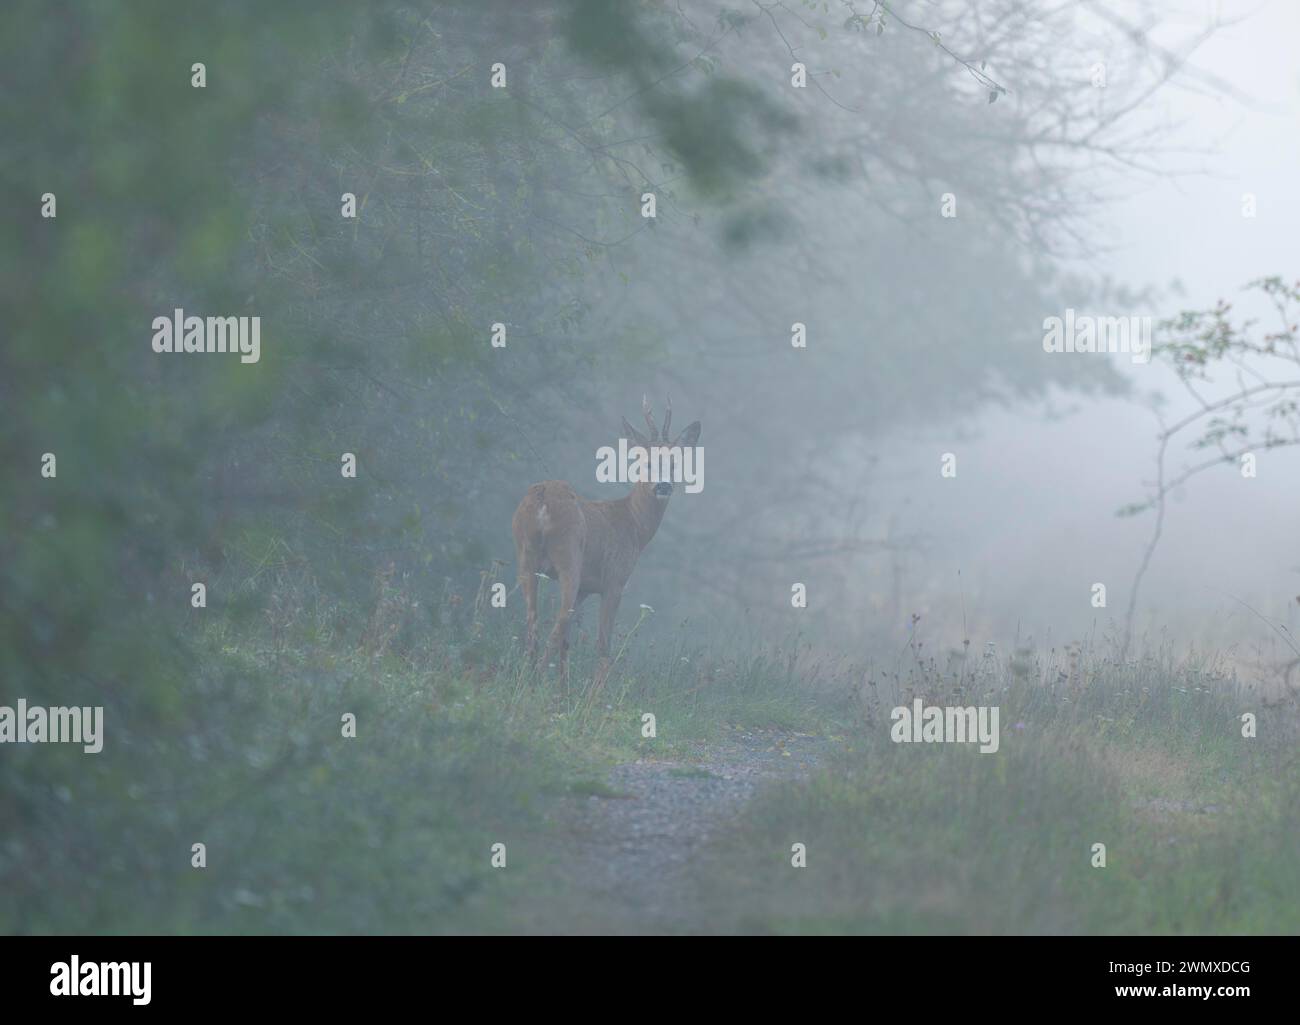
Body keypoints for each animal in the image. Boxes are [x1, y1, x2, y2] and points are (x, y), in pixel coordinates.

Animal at [511, 396, 701, 689]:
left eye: (674, 465)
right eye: (646, 463)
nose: (664, 486)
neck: (634, 525)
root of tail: (542, 499)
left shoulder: (586, 589)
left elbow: (569, 641)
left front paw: (563, 690)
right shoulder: (614, 580)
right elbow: (603, 644)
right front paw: (594, 693)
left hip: (525, 555)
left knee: (534, 620)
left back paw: (526, 677)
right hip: (570, 558)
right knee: (557, 621)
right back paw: (536, 680)